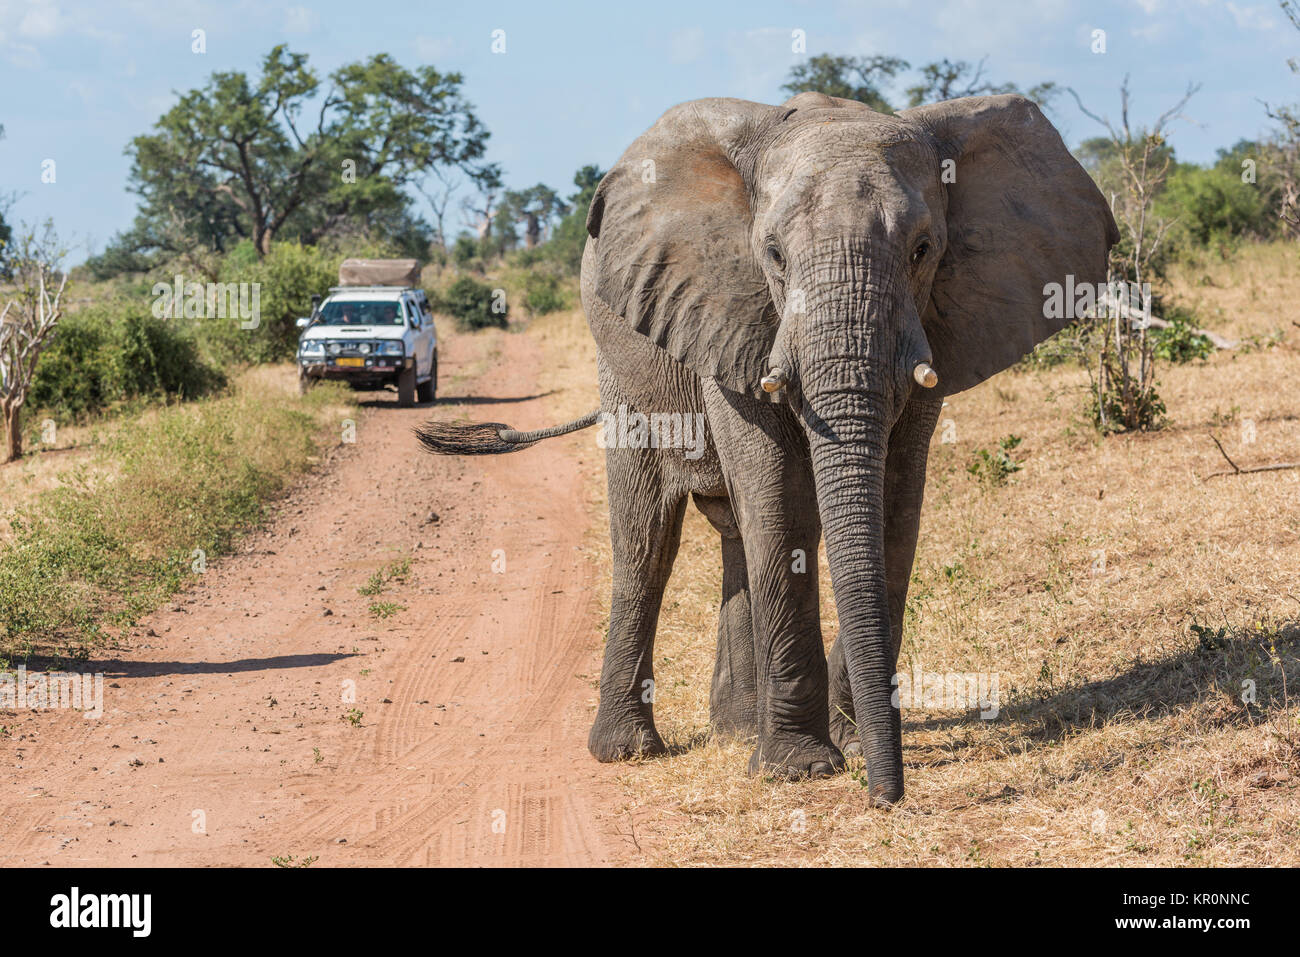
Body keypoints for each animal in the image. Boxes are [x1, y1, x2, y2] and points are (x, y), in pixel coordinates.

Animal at [418, 91, 1118, 807]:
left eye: (924, 249)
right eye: (774, 255)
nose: (886, 796)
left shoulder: (934, 326)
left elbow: (896, 503)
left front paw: (842, 739)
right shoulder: (726, 307)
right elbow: (777, 493)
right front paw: (800, 766)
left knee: (731, 531)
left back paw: (733, 731)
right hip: (621, 364)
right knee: (647, 539)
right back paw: (628, 750)